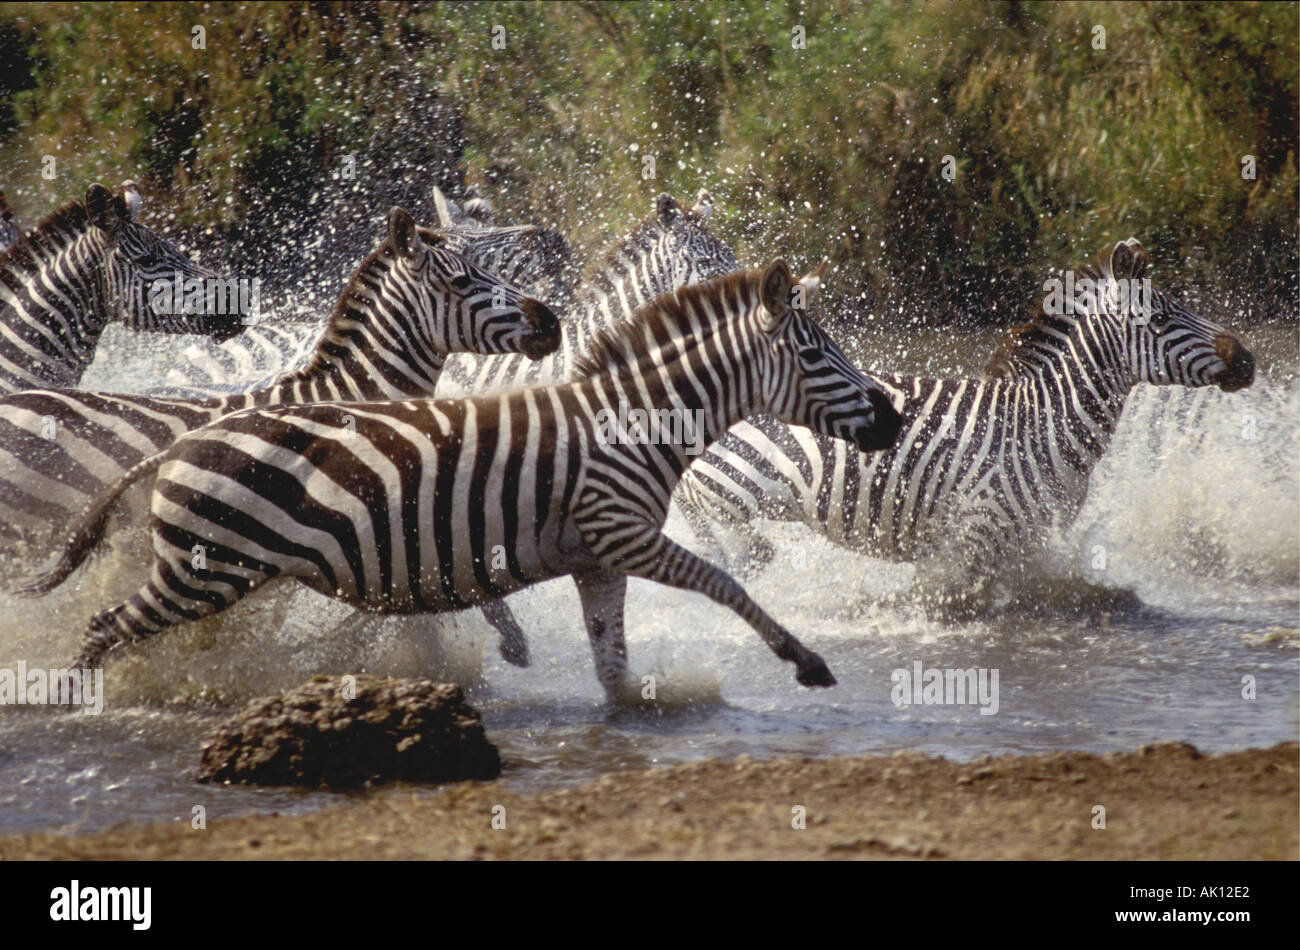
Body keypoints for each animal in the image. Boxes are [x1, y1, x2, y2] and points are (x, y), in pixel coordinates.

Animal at [22, 261, 904, 697]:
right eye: (816, 354)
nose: (893, 420)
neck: (632, 422)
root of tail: (179, 445)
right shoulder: (624, 532)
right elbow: (727, 582)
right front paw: (805, 661)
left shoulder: (598, 561)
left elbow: (614, 669)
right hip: (205, 573)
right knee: (101, 626)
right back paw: (70, 700)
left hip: (224, 573)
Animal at [673, 238, 1256, 604]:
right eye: (1160, 318)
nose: (1247, 359)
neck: (1044, 422)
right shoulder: (973, 536)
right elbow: (949, 603)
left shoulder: (1023, 546)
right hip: (734, 495)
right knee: (729, 536)